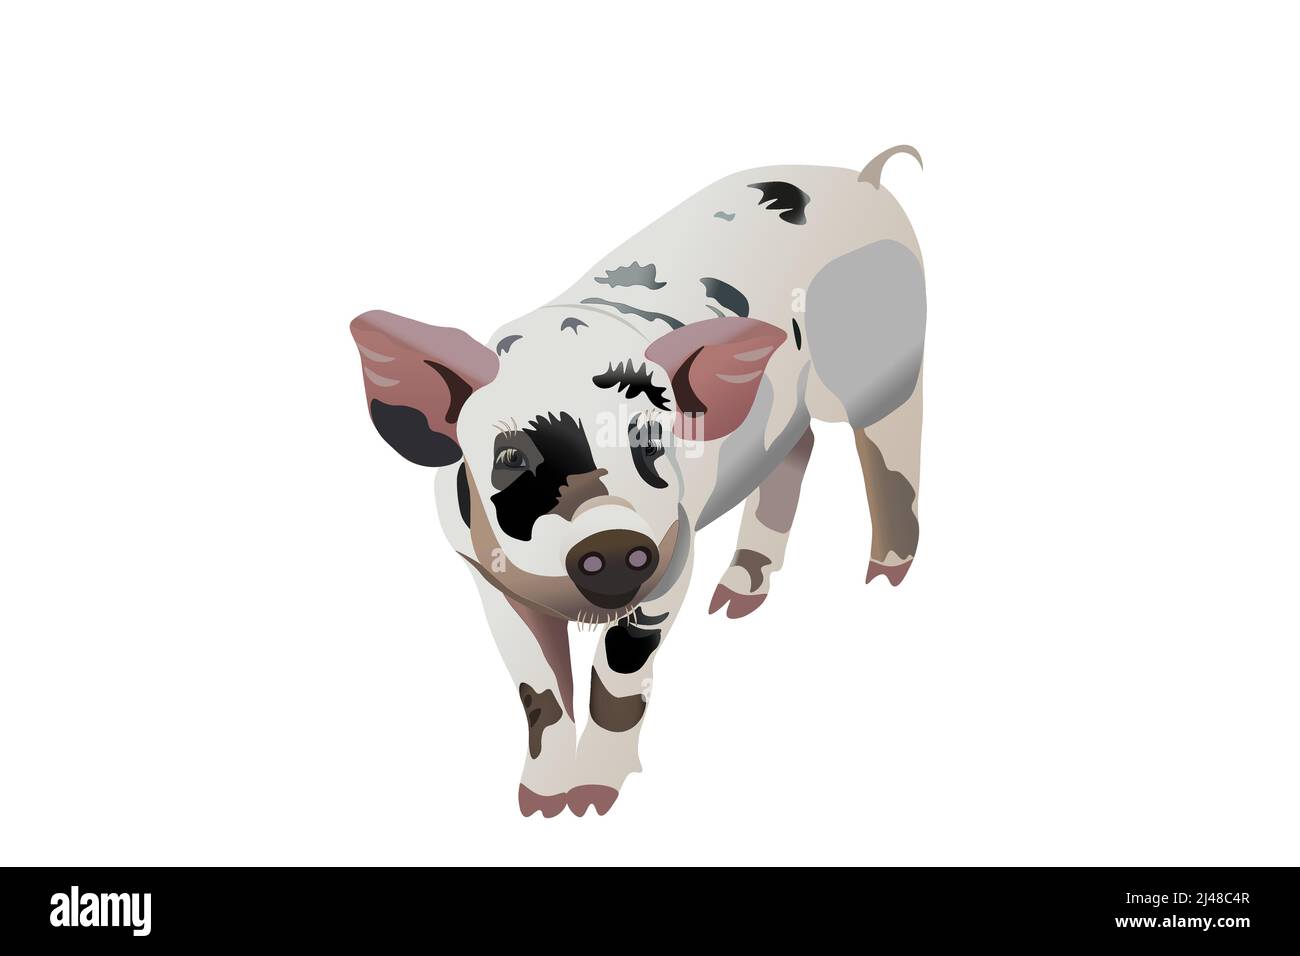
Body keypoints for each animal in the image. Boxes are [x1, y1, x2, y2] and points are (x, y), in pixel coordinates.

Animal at [349, 147, 926, 816]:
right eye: (511, 457)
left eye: (649, 441)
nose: (612, 539)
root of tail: (862, 178)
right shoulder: (486, 580)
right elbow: (539, 692)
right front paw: (538, 805)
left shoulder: (675, 562)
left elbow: (618, 685)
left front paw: (592, 804)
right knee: (796, 449)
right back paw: (735, 601)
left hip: (889, 364)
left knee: (891, 444)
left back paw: (883, 578)